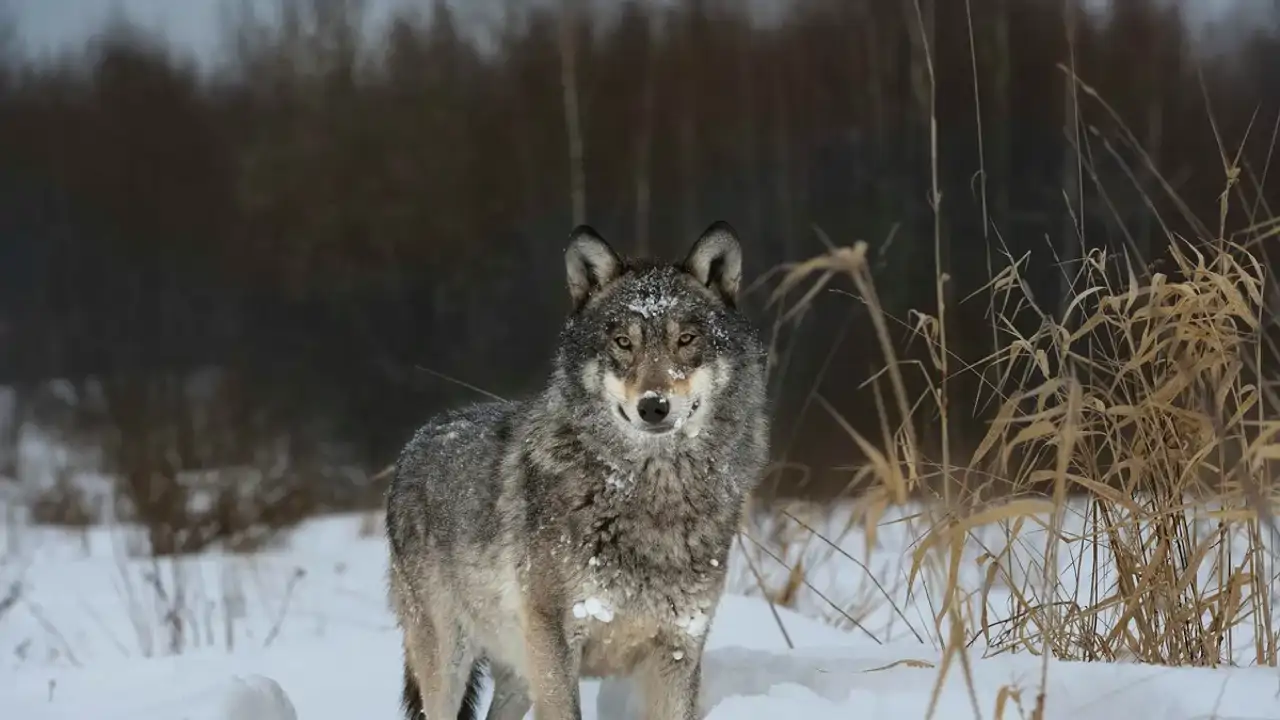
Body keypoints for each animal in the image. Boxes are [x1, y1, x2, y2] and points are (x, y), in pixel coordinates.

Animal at [385, 221, 771, 720]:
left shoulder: (680, 646)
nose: (654, 406)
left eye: (685, 340)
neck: (653, 494)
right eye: (623, 342)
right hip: (452, 660)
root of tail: (421, 437)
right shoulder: (556, 645)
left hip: (518, 673)